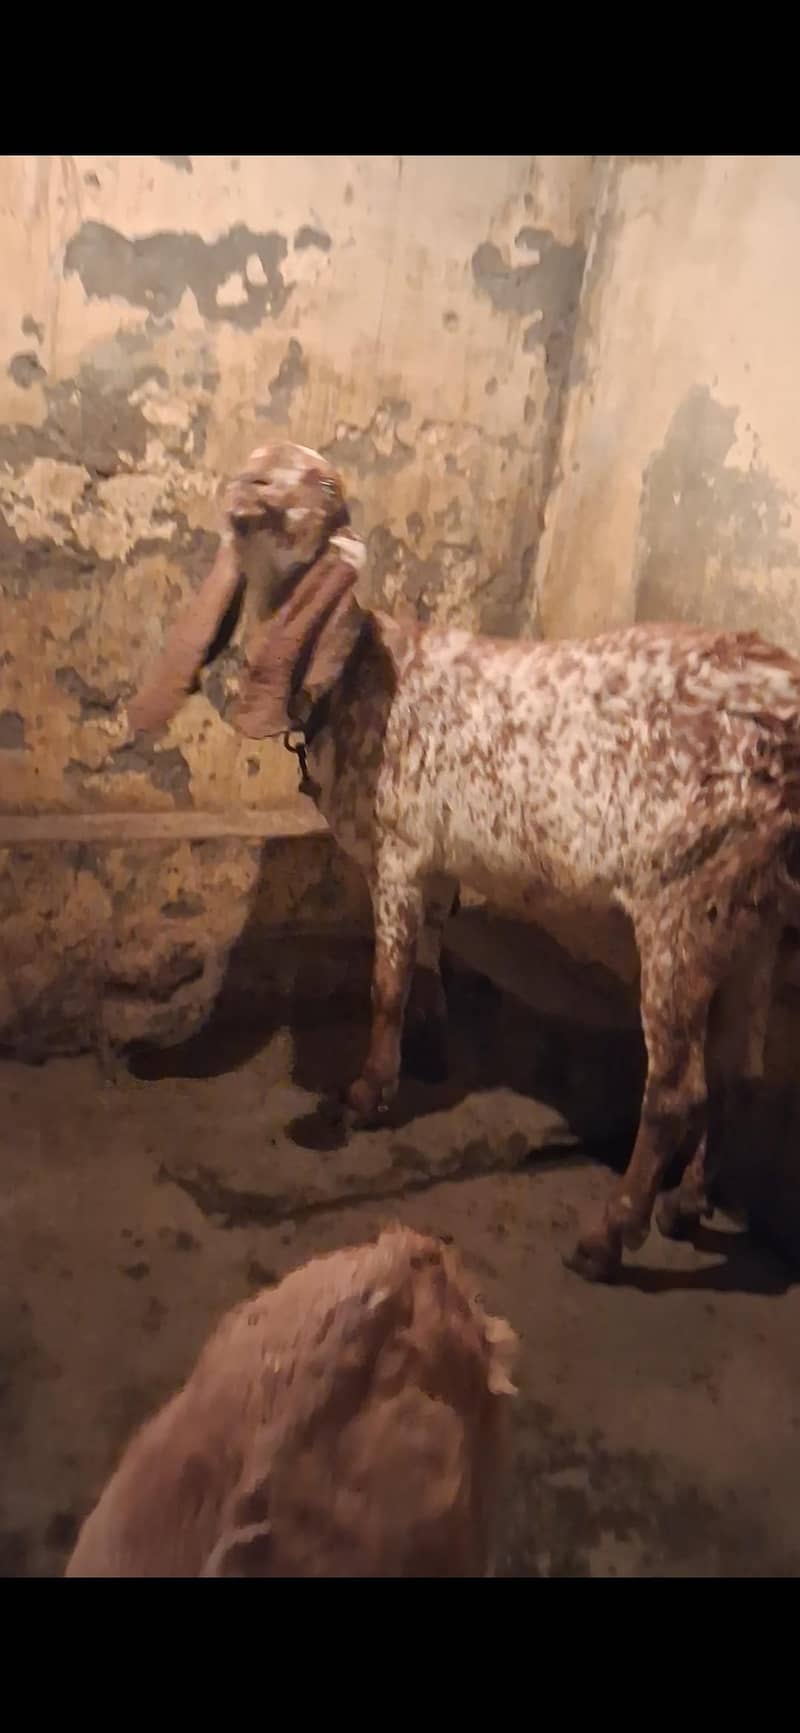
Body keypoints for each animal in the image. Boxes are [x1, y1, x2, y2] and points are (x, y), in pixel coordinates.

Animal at [130, 441, 800, 1282]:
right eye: (258, 459)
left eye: (321, 484)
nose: (252, 487)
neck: (357, 668)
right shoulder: (435, 859)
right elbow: (428, 952)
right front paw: (429, 1050)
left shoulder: (396, 850)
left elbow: (383, 983)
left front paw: (367, 1093)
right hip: (753, 912)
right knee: (738, 1072)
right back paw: (685, 1203)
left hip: (682, 899)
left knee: (678, 1088)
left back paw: (609, 1235)